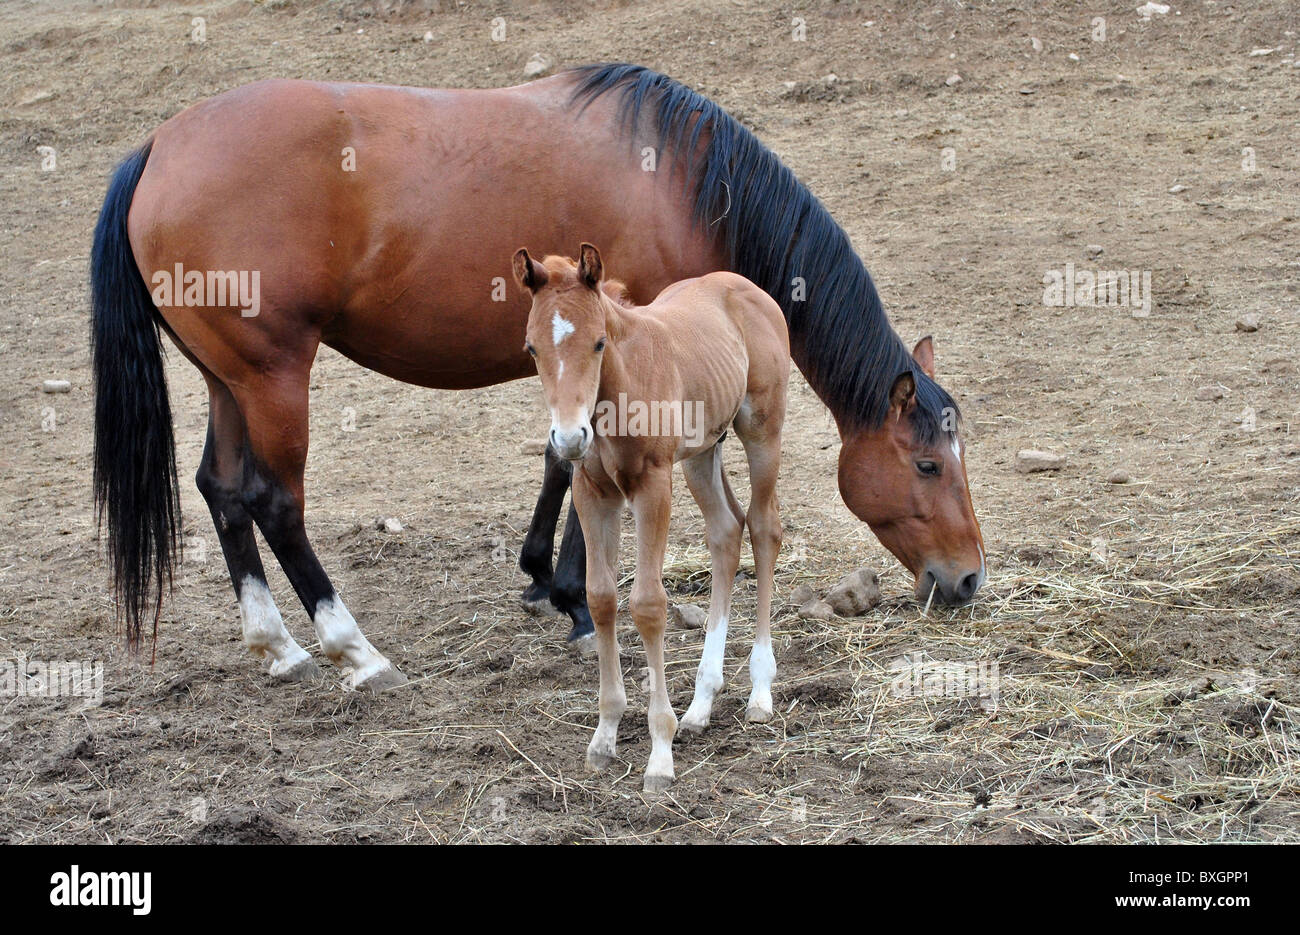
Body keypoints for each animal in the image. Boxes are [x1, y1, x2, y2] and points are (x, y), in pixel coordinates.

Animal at [90, 64, 985, 690]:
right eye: (926, 464)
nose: (968, 577)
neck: (685, 179)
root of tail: (157, 148)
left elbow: (562, 452)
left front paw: (543, 580)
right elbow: (578, 462)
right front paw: (572, 594)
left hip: (229, 379)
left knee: (221, 490)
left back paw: (276, 644)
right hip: (274, 376)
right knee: (274, 502)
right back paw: (355, 650)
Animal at [514, 244, 790, 791]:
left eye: (599, 342)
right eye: (532, 349)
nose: (569, 438)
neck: (618, 388)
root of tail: (745, 286)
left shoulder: (651, 486)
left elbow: (646, 605)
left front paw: (659, 755)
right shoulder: (593, 490)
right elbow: (601, 599)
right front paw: (604, 736)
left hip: (761, 432)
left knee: (763, 528)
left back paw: (759, 692)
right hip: (703, 451)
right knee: (726, 532)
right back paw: (701, 705)